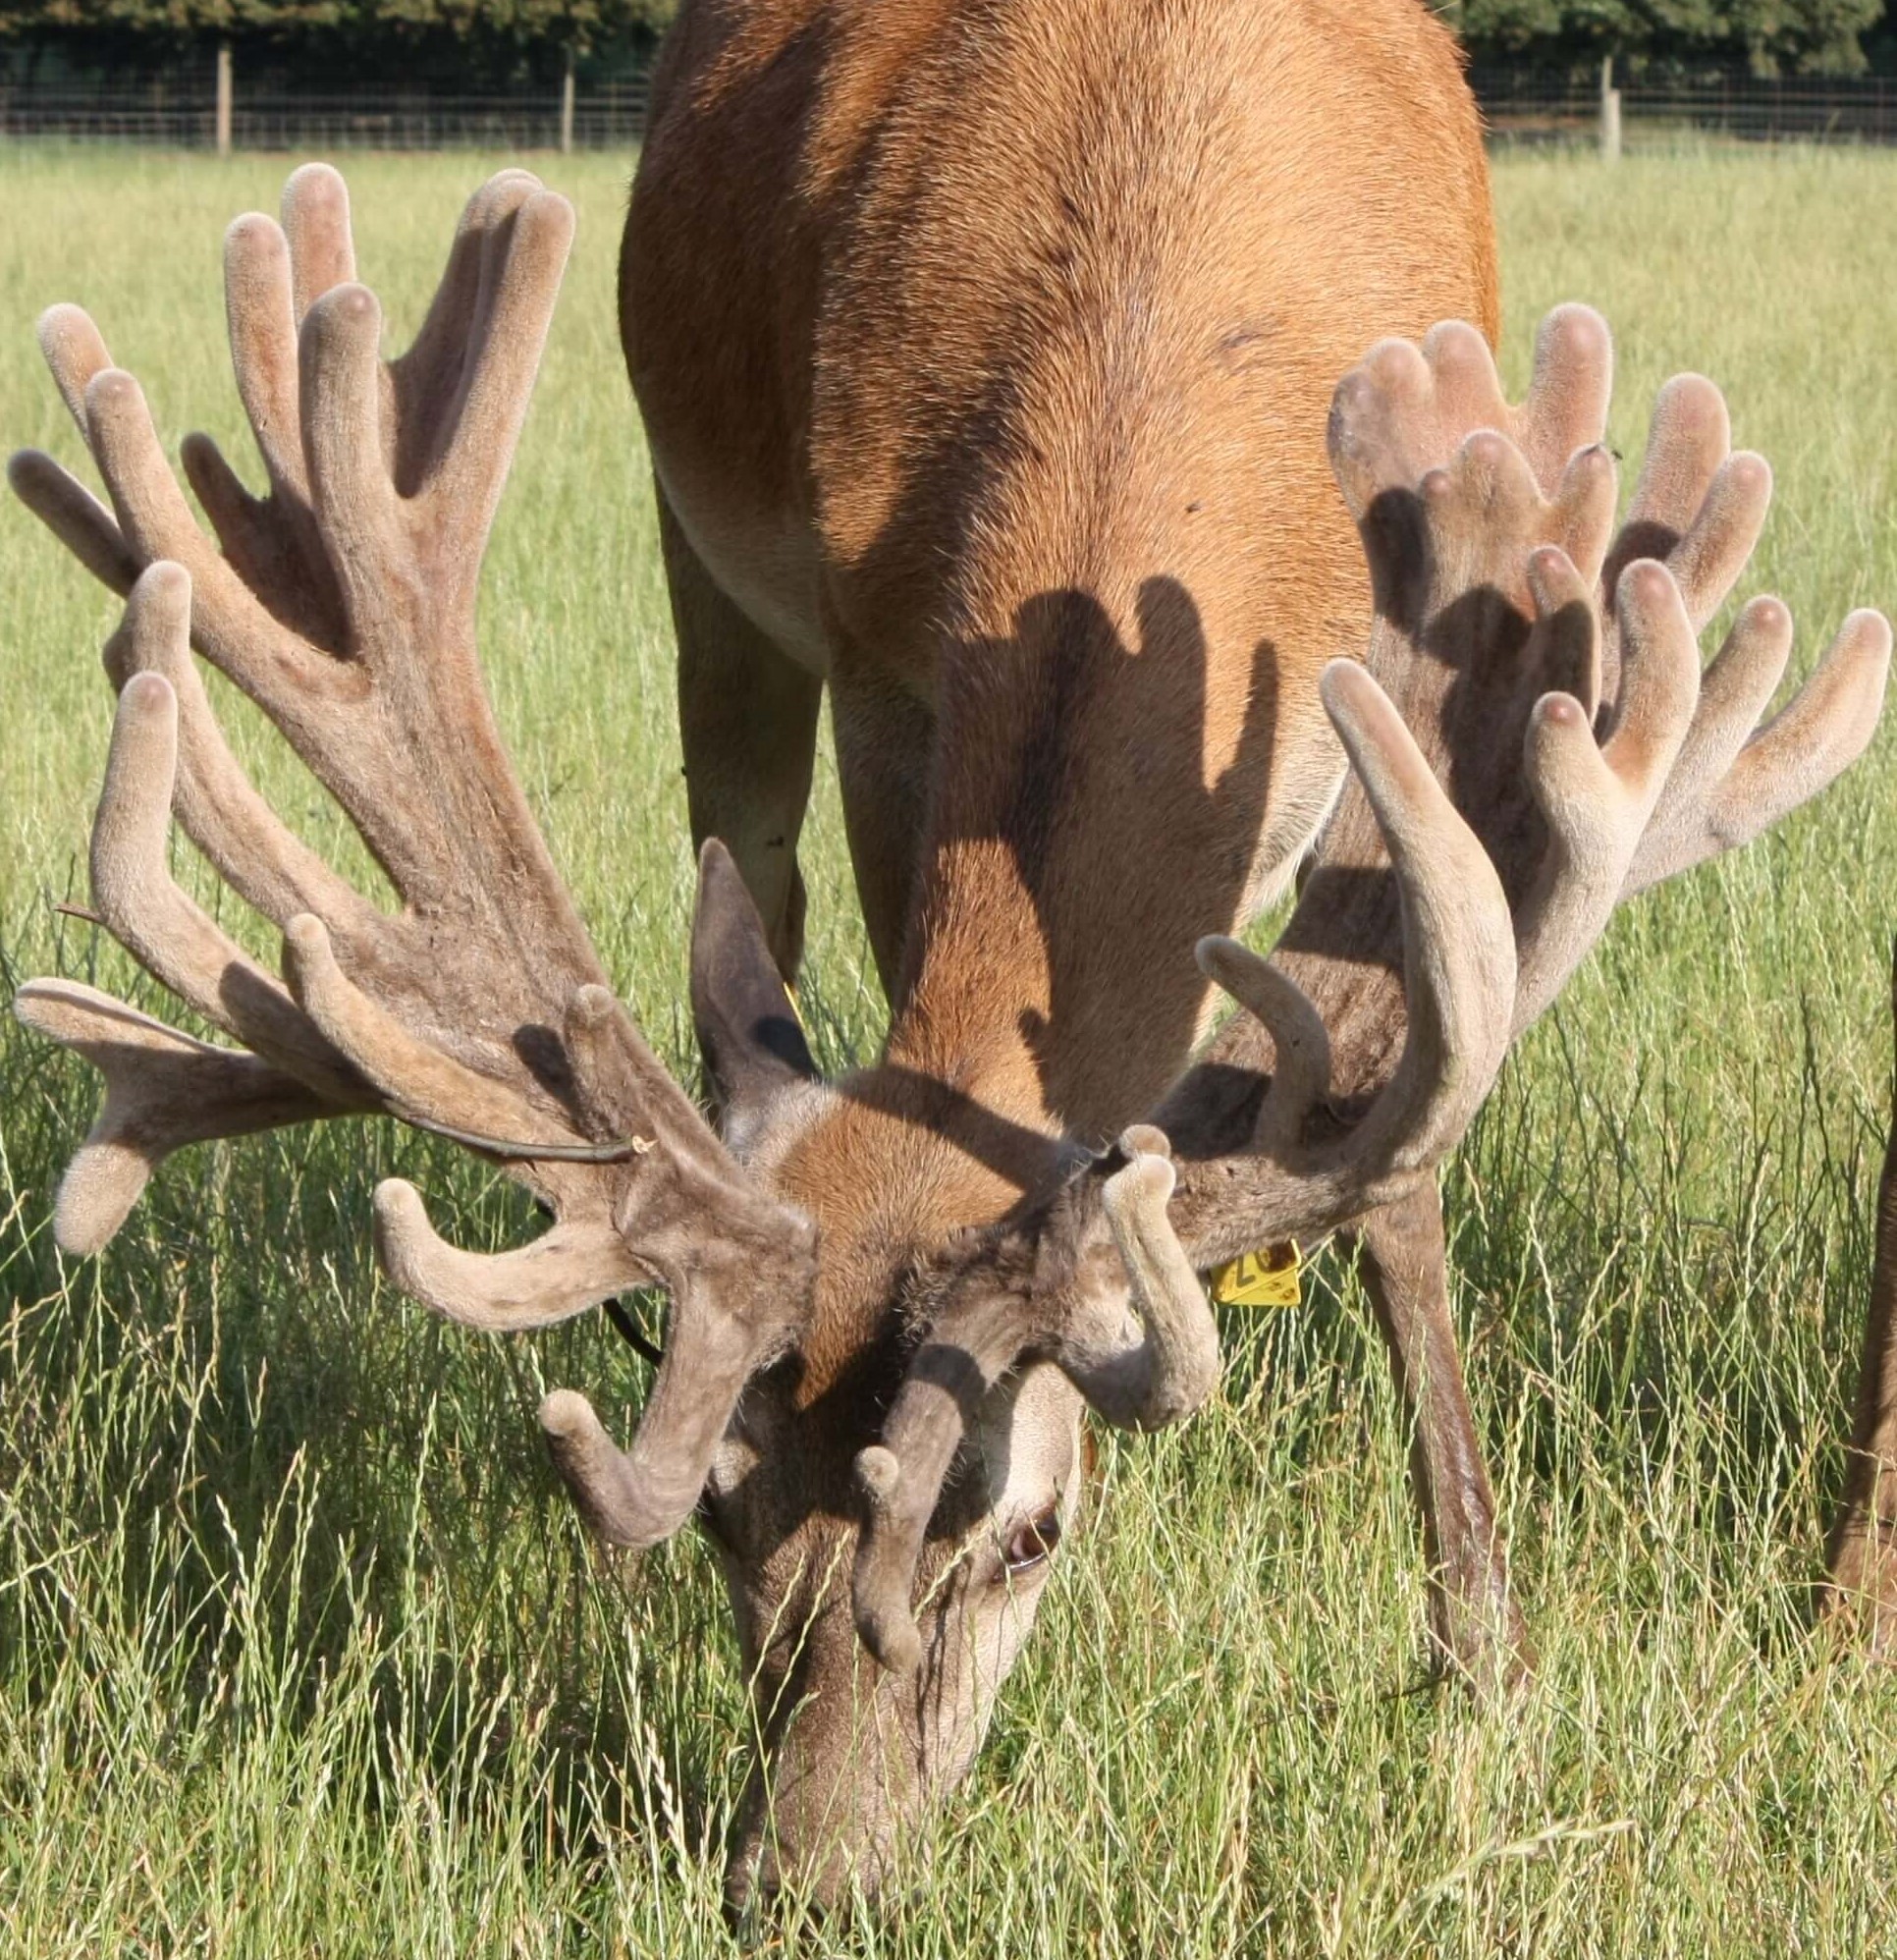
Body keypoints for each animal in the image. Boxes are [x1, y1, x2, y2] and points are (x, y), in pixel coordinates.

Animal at [7, 1, 1890, 1916]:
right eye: (723, 1513)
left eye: (1027, 1528)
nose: (802, 1878)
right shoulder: (879, 665)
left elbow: (1392, 1164)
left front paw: (1476, 1659)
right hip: (705, 556)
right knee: (746, 897)